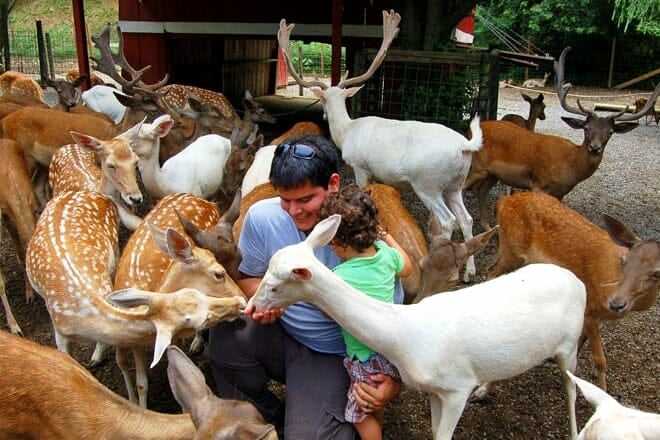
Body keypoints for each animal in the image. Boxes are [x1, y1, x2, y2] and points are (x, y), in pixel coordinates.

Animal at [250, 214, 586, 440]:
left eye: (275, 286)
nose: (252, 306)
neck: (405, 339)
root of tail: (577, 281)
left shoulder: (457, 386)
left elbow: (444, 435)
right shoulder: (436, 390)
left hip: (570, 345)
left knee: (571, 387)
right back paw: (485, 390)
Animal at [278, 11, 483, 282]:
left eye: (322, 100)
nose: (322, 113)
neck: (346, 132)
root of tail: (465, 144)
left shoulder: (359, 166)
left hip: (428, 183)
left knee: (449, 221)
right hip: (455, 184)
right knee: (466, 218)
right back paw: (470, 272)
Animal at [463, 46, 660, 231]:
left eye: (610, 132)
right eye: (586, 128)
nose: (595, 148)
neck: (570, 166)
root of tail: (469, 131)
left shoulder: (561, 193)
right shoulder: (539, 184)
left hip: (492, 173)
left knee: (481, 191)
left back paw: (487, 226)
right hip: (478, 166)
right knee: (464, 188)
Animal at [487, 191, 659, 392]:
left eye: (657, 273)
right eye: (623, 261)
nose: (616, 303)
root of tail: (503, 201)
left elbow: (581, 339)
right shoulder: (590, 309)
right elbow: (600, 359)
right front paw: (603, 391)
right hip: (510, 249)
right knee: (490, 272)